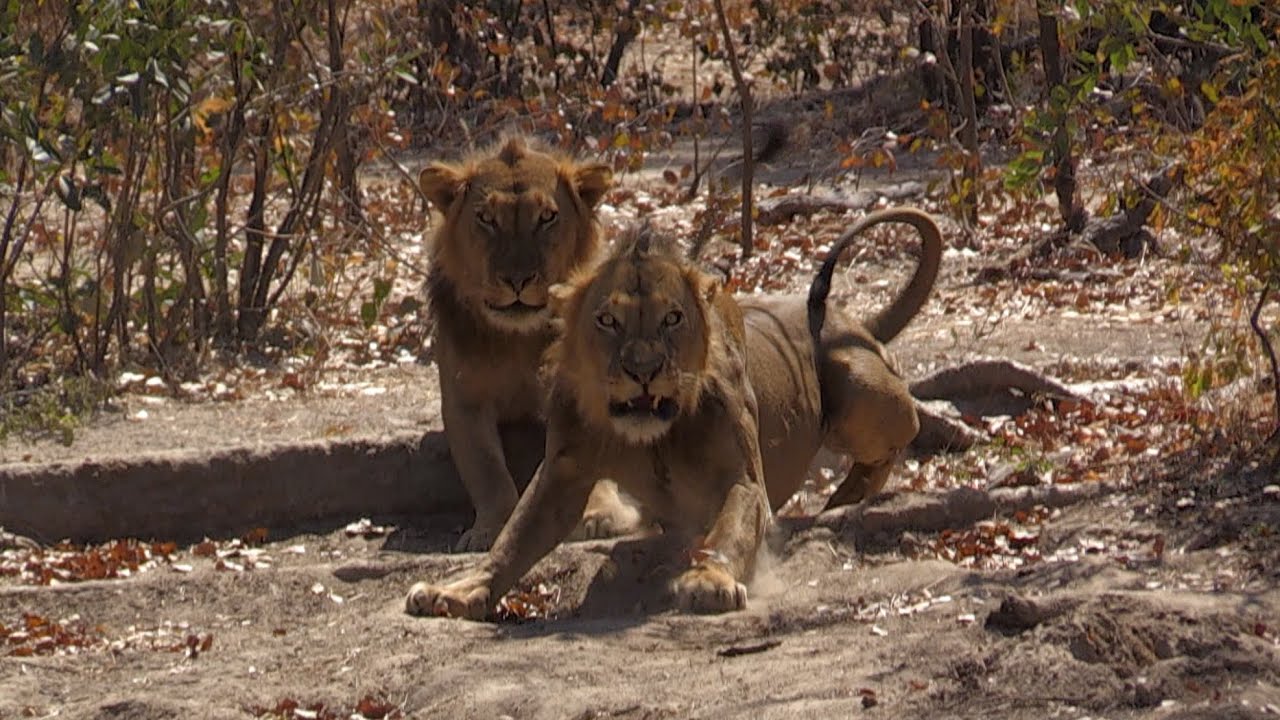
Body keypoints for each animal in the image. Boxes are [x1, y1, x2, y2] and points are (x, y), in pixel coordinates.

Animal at [407, 225, 770, 618]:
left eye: (672, 318)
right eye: (608, 321)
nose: (643, 371)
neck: (651, 438)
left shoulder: (743, 478)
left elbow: (731, 531)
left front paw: (709, 580)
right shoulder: (561, 471)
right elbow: (510, 543)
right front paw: (456, 591)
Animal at [419, 135, 639, 551]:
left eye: (547, 217)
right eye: (487, 219)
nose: (517, 280)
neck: (520, 339)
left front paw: (601, 514)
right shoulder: (463, 400)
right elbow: (486, 469)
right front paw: (491, 529)